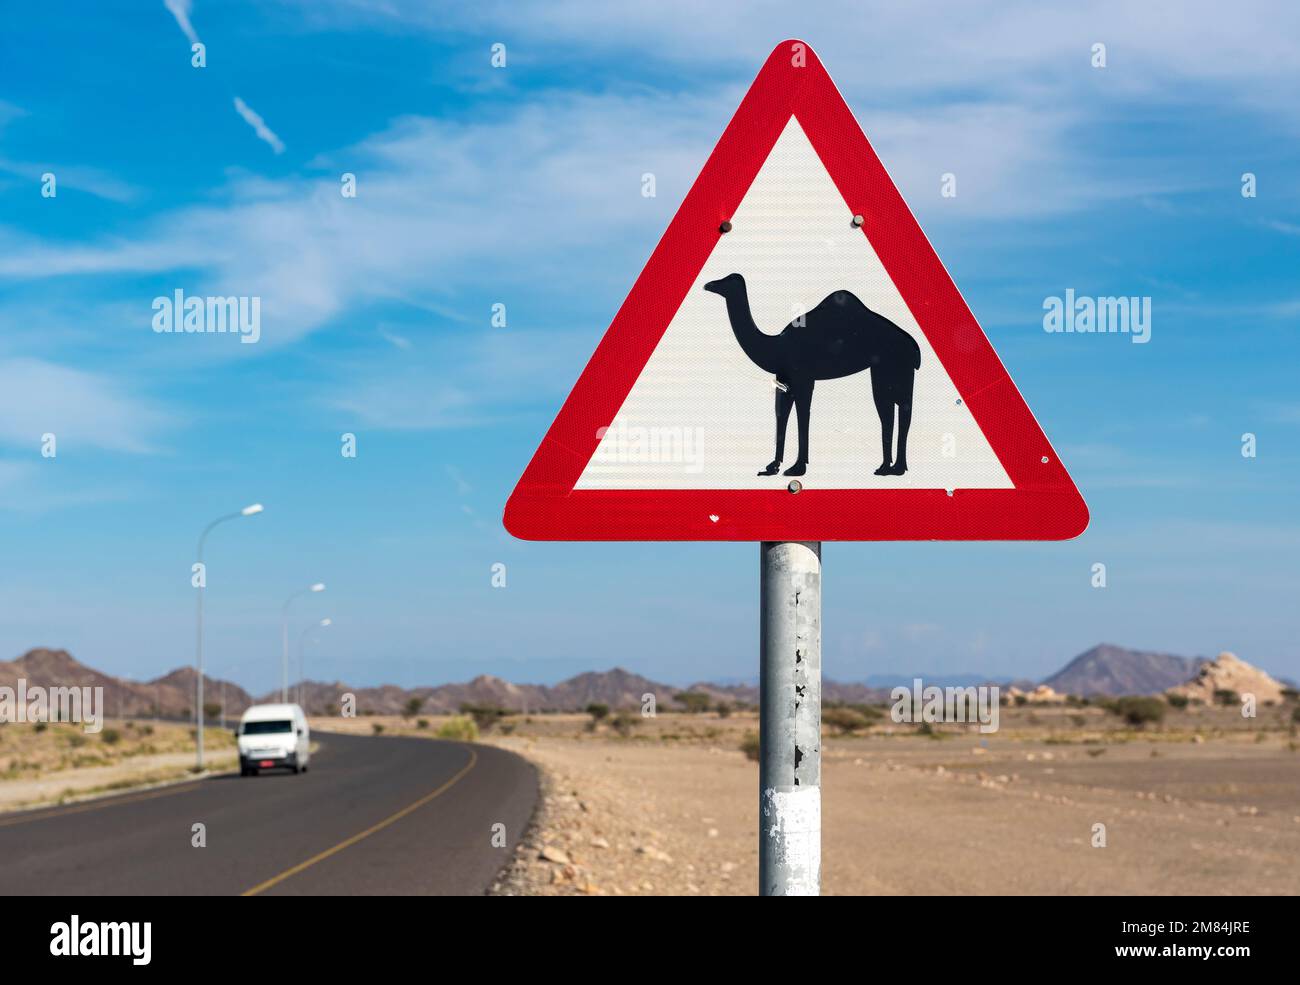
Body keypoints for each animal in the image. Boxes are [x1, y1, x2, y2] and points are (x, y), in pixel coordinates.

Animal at [703, 272, 921, 477]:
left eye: (729, 279)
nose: (708, 284)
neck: (777, 346)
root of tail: (915, 351)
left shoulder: (804, 379)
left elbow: (802, 415)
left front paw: (797, 467)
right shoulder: (785, 379)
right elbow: (781, 414)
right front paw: (772, 466)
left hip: (893, 368)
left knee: (899, 411)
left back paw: (895, 469)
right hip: (885, 371)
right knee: (891, 411)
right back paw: (887, 468)